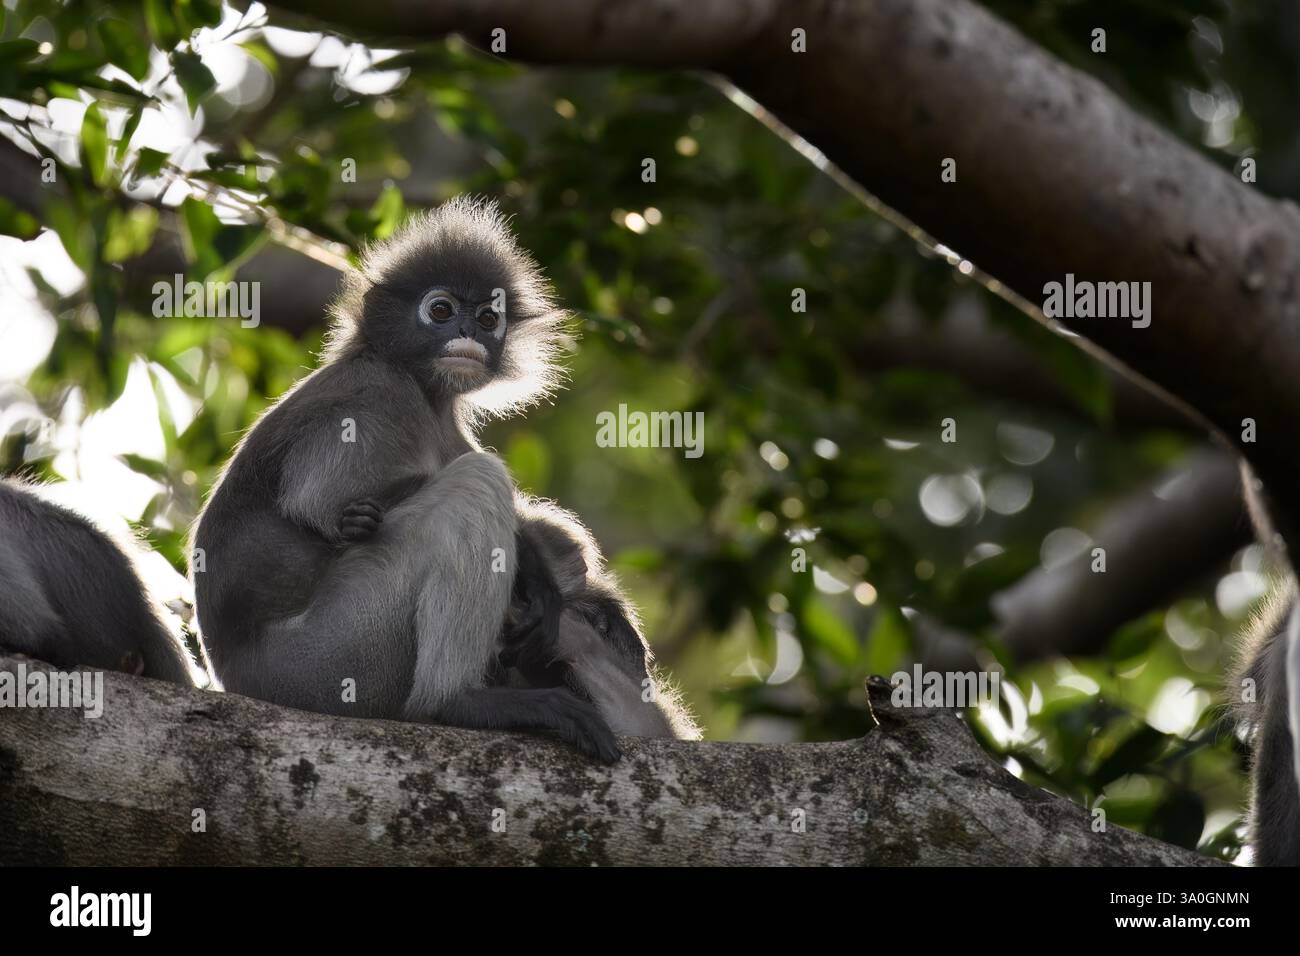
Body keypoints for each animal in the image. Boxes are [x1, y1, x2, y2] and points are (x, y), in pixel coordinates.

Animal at [191, 197, 694, 762]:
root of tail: (237, 676)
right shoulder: (377, 396)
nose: (469, 334)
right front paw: (546, 581)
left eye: (488, 317)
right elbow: (322, 506)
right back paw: (459, 702)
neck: (420, 385)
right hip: (332, 657)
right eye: (440, 311)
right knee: (473, 485)